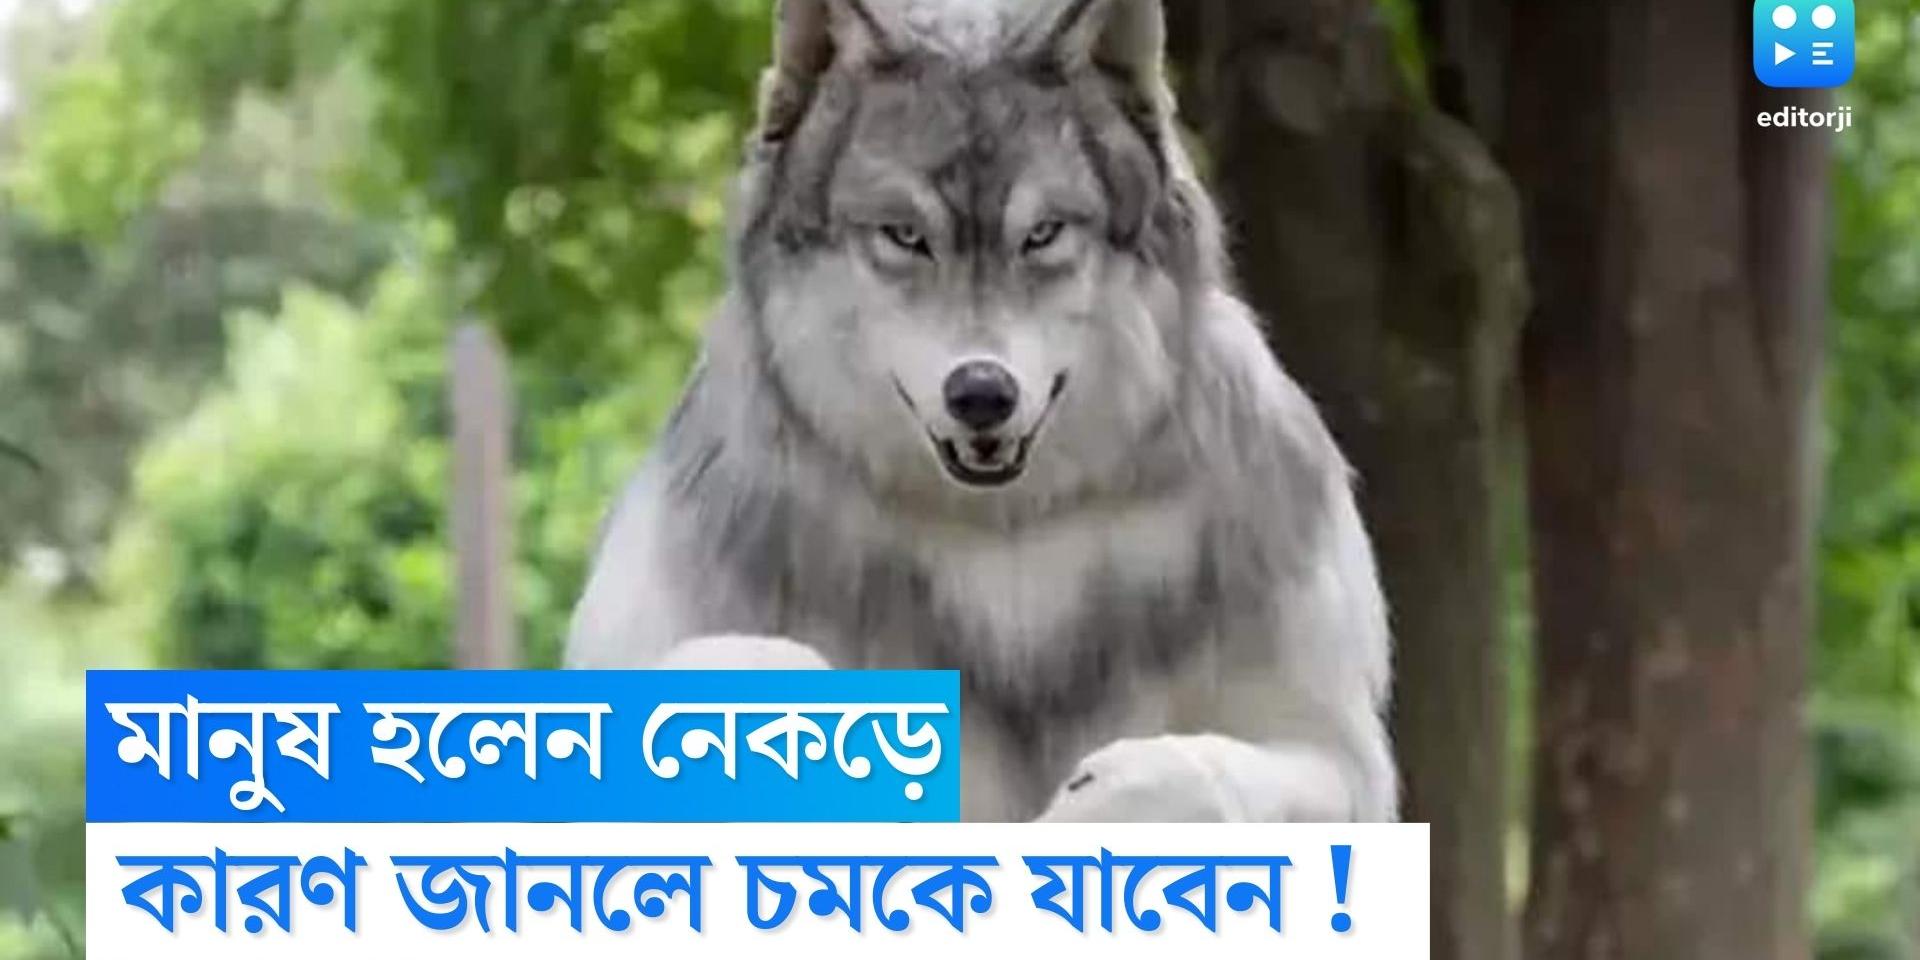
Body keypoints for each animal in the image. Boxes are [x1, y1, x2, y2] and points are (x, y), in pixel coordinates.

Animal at [567, 0, 1397, 823]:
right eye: (905, 236)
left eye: (1044, 233)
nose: (981, 393)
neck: (1001, 542)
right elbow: (743, 664)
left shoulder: (1337, 758)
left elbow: (1188, 770)